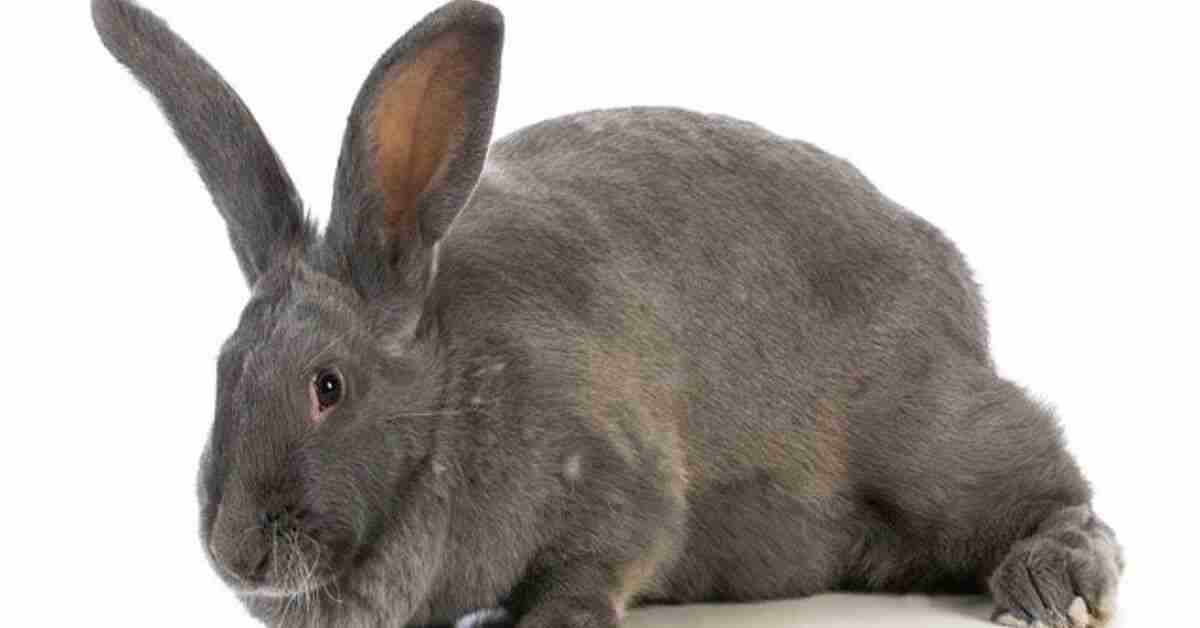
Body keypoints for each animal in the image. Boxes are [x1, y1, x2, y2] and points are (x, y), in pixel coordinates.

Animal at [91, 1, 1123, 627]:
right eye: (220, 369)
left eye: (329, 387)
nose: (234, 550)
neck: (450, 396)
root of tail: (954, 281)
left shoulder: (621, 481)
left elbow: (607, 555)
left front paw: (542, 614)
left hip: (930, 435)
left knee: (1056, 486)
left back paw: (1055, 583)